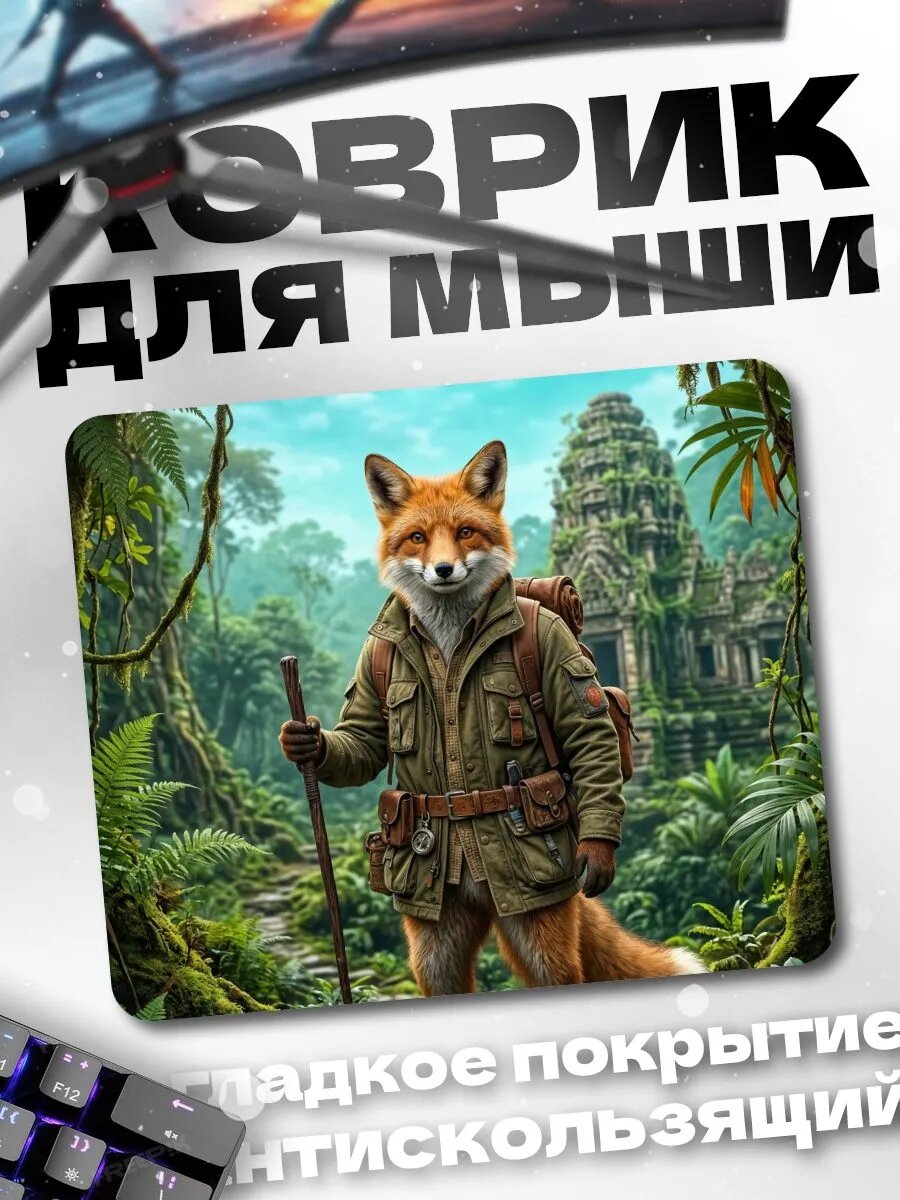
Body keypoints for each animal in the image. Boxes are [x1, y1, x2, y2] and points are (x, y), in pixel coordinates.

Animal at [281, 440, 704, 993]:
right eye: (417, 538)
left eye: (465, 532)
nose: (443, 570)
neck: (448, 631)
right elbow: (366, 737)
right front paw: (307, 743)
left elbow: (586, 734)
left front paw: (598, 854)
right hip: (436, 933)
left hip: (537, 927)